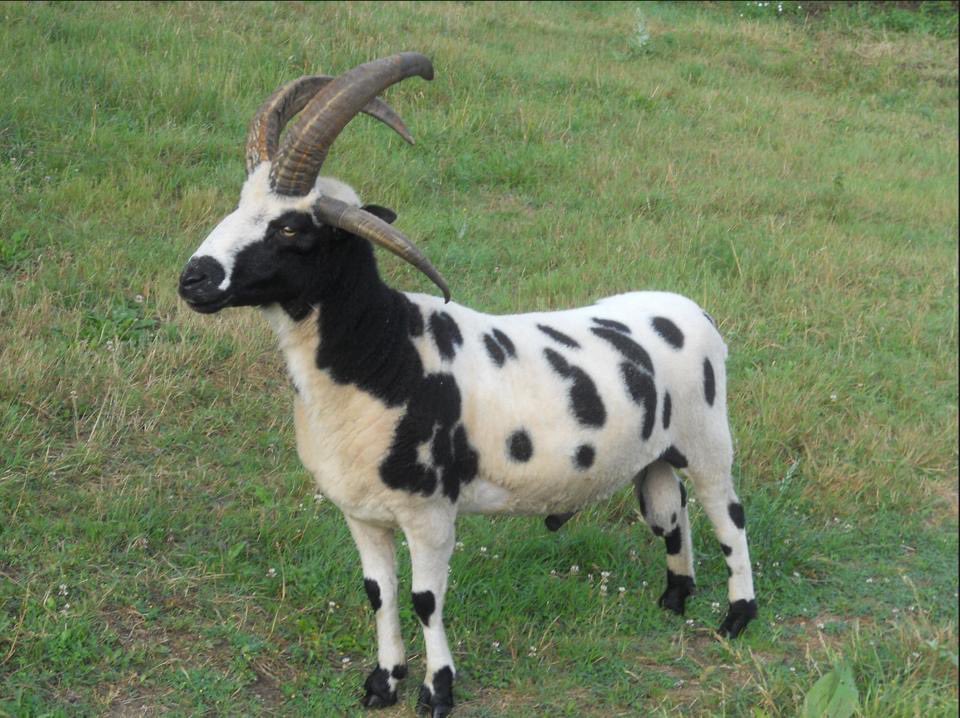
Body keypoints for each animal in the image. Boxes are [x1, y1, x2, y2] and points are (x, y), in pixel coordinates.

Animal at [178, 53, 757, 717]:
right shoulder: (362, 513)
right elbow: (378, 592)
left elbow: (425, 601)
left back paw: (737, 618)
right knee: (672, 512)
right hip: (655, 456)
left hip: (708, 440)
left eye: (294, 229)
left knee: (728, 515)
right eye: (239, 203)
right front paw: (382, 684)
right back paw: (675, 597)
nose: (193, 279)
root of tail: (695, 312)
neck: (384, 355)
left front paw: (437, 692)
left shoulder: (429, 512)